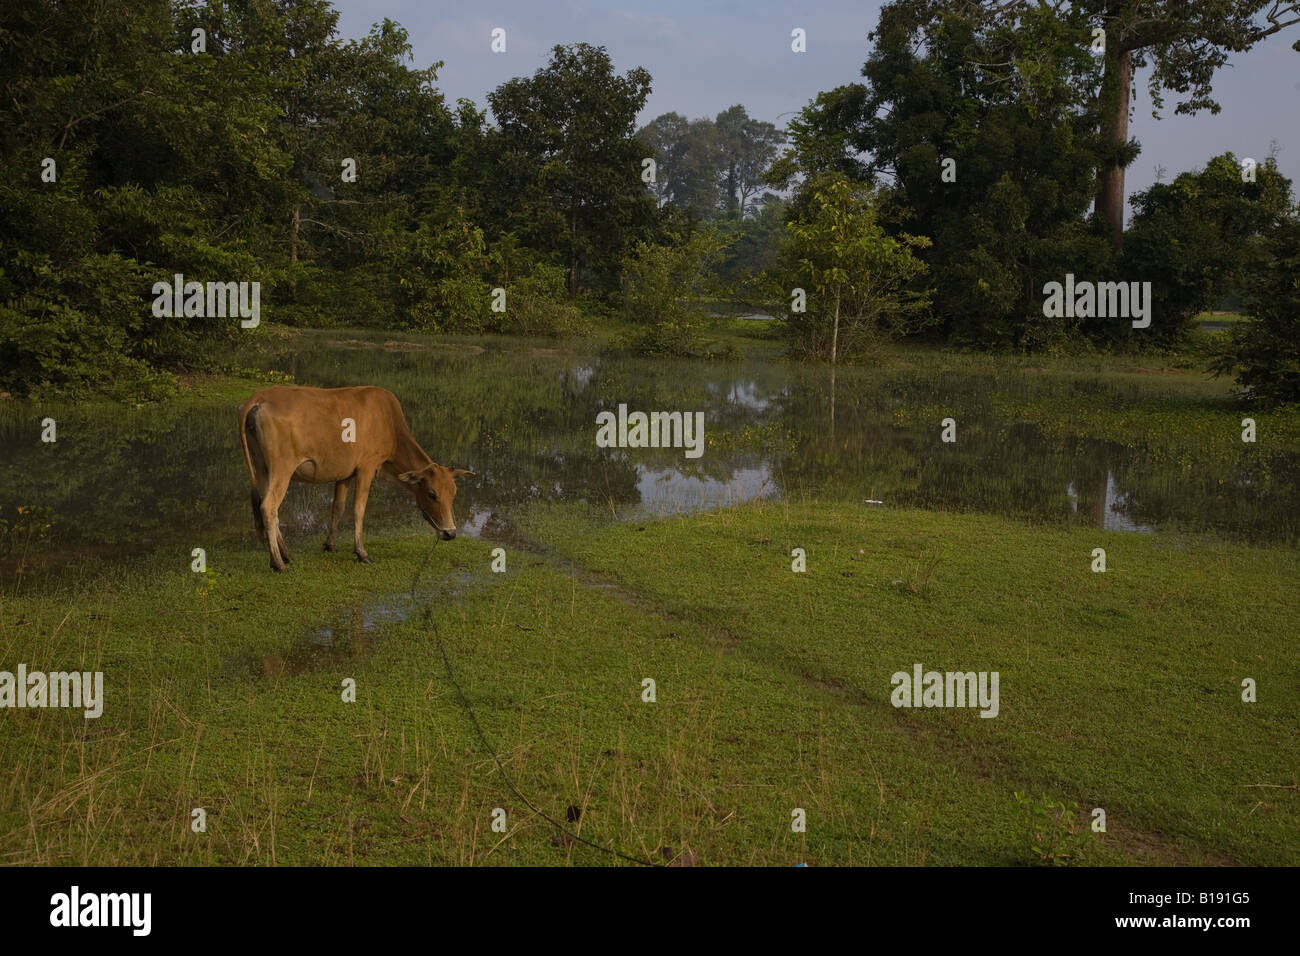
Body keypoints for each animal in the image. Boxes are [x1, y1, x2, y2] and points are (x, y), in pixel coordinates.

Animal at [238, 385, 472, 572]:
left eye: (454, 494)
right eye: (432, 494)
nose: (450, 533)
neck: (390, 423)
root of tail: (261, 396)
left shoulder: (344, 474)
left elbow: (338, 508)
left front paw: (330, 545)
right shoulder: (366, 468)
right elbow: (359, 510)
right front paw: (362, 552)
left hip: (262, 468)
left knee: (267, 506)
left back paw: (286, 555)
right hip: (282, 469)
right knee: (269, 507)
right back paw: (278, 563)